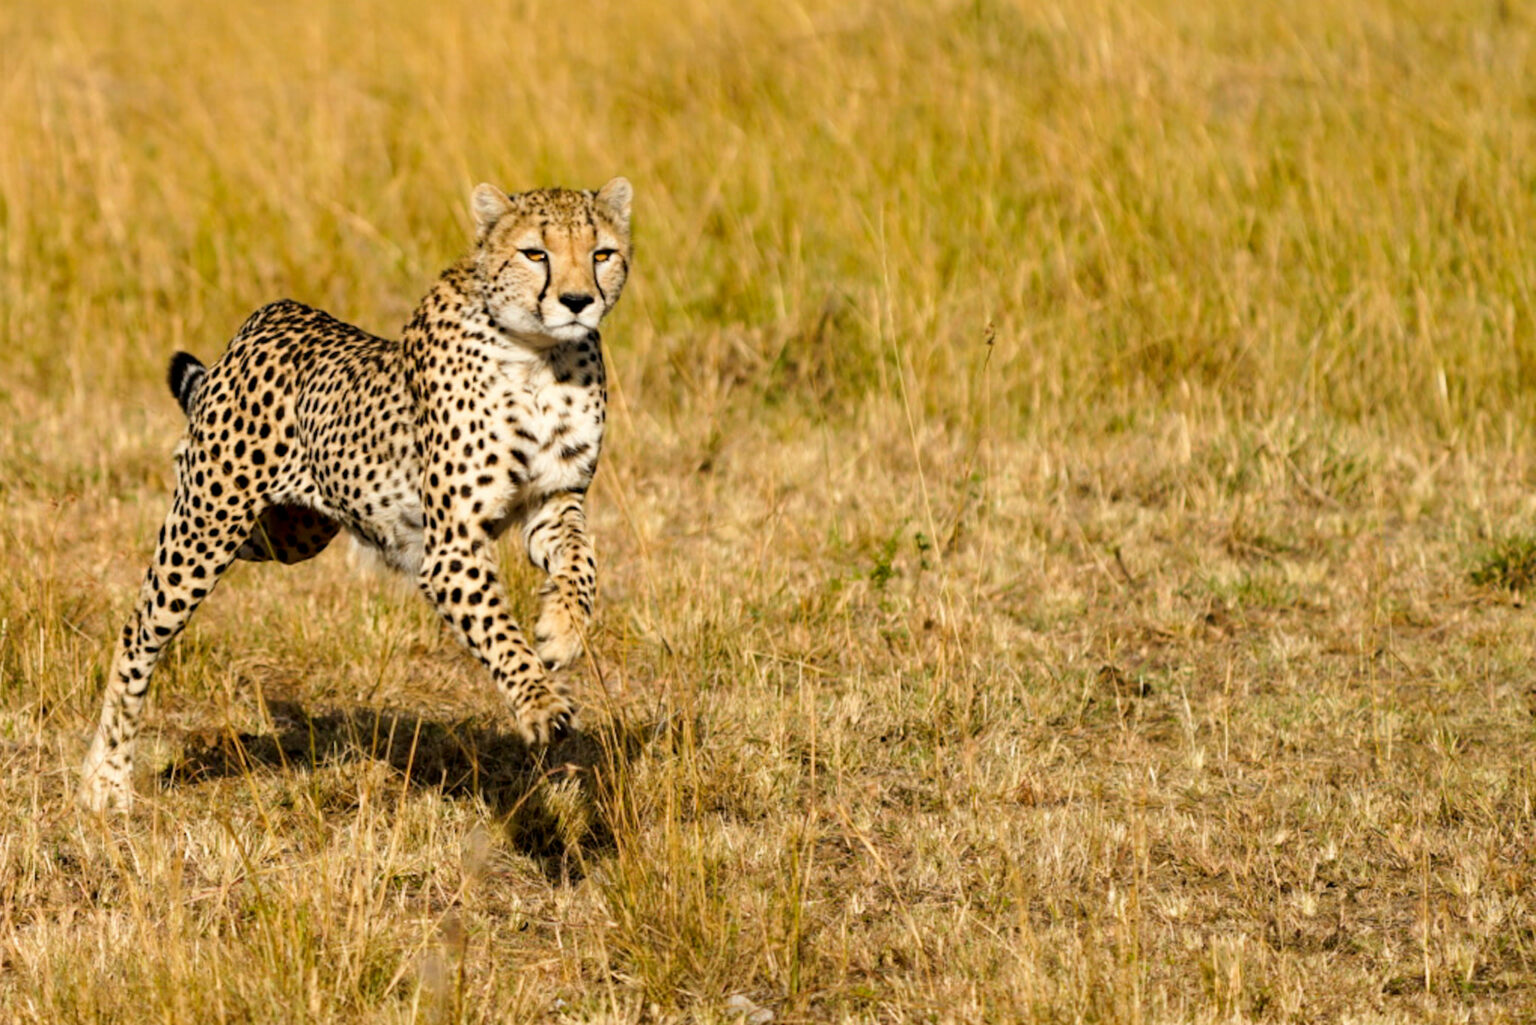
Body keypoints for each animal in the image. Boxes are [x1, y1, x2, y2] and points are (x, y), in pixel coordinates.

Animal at [78, 177, 633, 811]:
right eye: (535, 253)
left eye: (602, 253)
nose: (577, 301)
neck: (540, 356)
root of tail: (268, 317)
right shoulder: (451, 548)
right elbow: (498, 632)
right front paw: (540, 703)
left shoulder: (554, 501)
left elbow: (582, 563)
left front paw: (561, 631)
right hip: (207, 527)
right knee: (138, 632)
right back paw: (106, 778)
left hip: (287, 535)